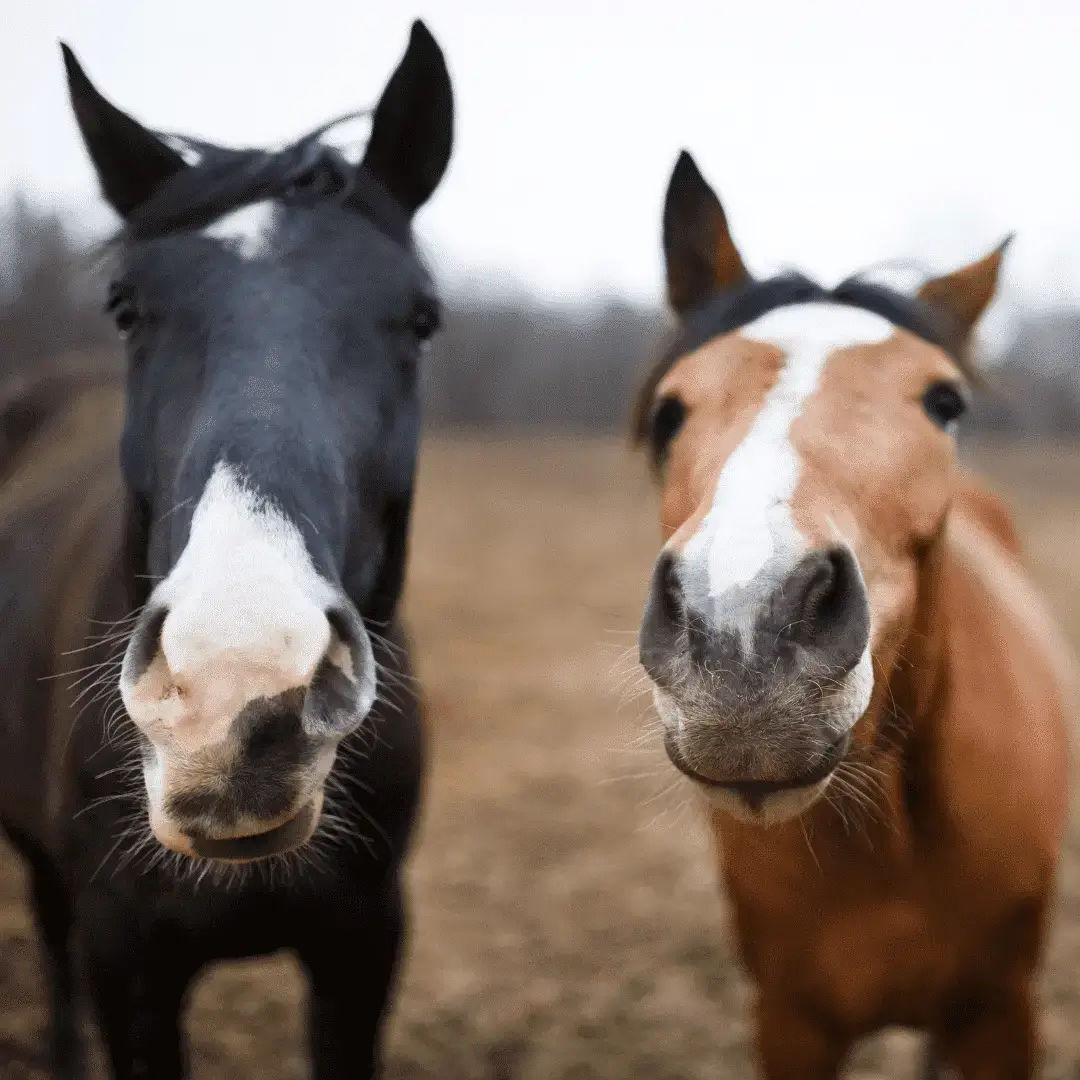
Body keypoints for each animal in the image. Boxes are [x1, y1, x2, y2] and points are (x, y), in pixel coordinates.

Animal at [632, 151, 1073, 1079]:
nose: (744, 631)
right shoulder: (790, 1024)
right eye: (671, 410)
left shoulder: (1003, 1017)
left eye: (945, 403)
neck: (889, 851)